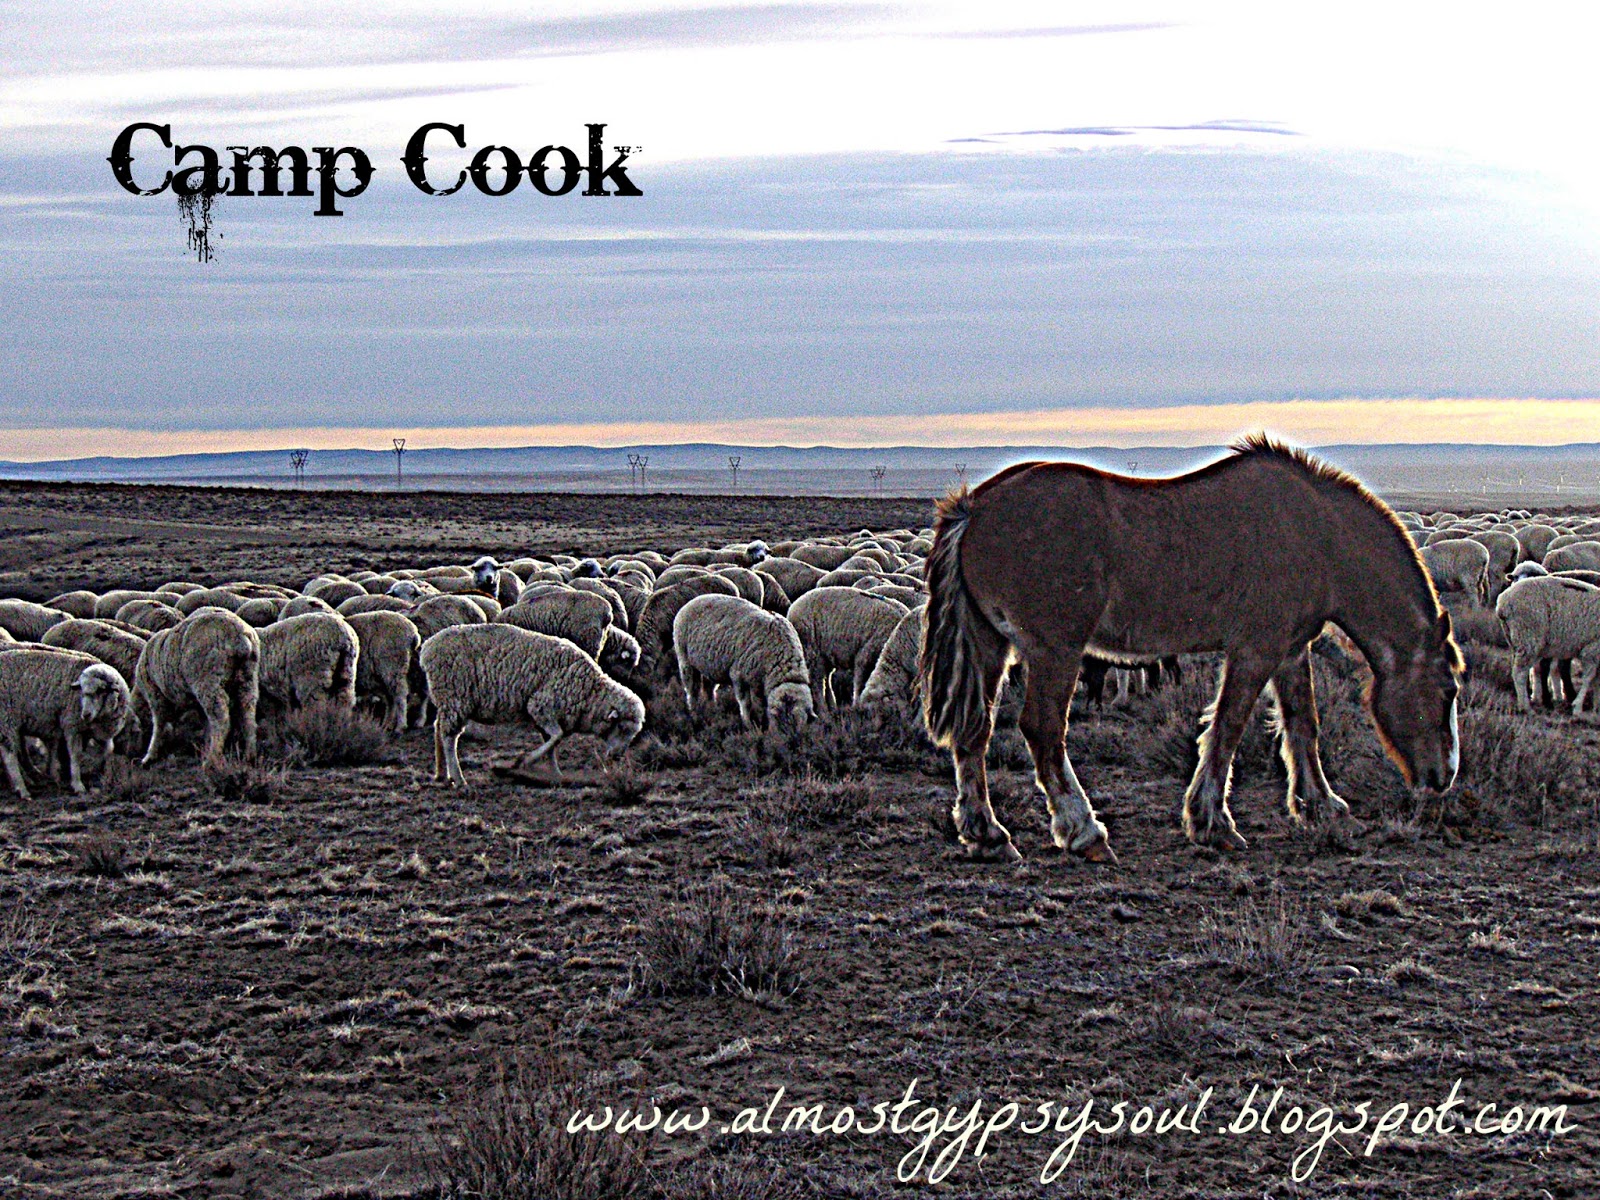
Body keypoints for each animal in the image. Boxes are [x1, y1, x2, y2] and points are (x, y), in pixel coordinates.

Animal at [0, 650, 130, 799]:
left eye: (101, 690)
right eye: (82, 690)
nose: (85, 714)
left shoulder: (98, 731)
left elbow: (108, 750)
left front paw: (95, 769)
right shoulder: (72, 725)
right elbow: (76, 754)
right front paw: (77, 784)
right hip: (6, 718)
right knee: (9, 756)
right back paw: (22, 789)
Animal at [136, 607, 260, 767]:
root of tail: (240, 634)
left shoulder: (155, 693)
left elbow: (159, 724)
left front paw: (150, 755)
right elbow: (205, 723)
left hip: (207, 679)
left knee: (221, 718)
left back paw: (212, 760)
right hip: (248, 677)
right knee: (247, 712)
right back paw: (249, 755)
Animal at [419, 623, 645, 787]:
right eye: (622, 727)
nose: (617, 756)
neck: (589, 691)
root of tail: (427, 648)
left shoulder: (551, 716)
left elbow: (552, 745)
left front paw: (555, 774)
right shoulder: (541, 707)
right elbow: (556, 737)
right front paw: (523, 762)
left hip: (447, 701)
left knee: (438, 729)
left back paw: (442, 774)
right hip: (456, 698)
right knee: (449, 737)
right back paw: (458, 778)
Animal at [671, 594, 813, 731]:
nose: (789, 738)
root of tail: (692, 601)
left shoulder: (757, 683)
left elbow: (760, 704)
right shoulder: (739, 676)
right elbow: (746, 703)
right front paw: (750, 724)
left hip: (709, 666)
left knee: (708, 689)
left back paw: (713, 710)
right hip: (685, 659)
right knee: (692, 690)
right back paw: (694, 714)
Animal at [1496, 576, 1600, 715]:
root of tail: (1503, 601)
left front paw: (1596, 708)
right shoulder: (1592, 650)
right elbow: (1589, 678)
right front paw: (1577, 707)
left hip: (1516, 640)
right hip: (1529, 636)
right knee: (1520, 673)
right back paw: (1526, 707)